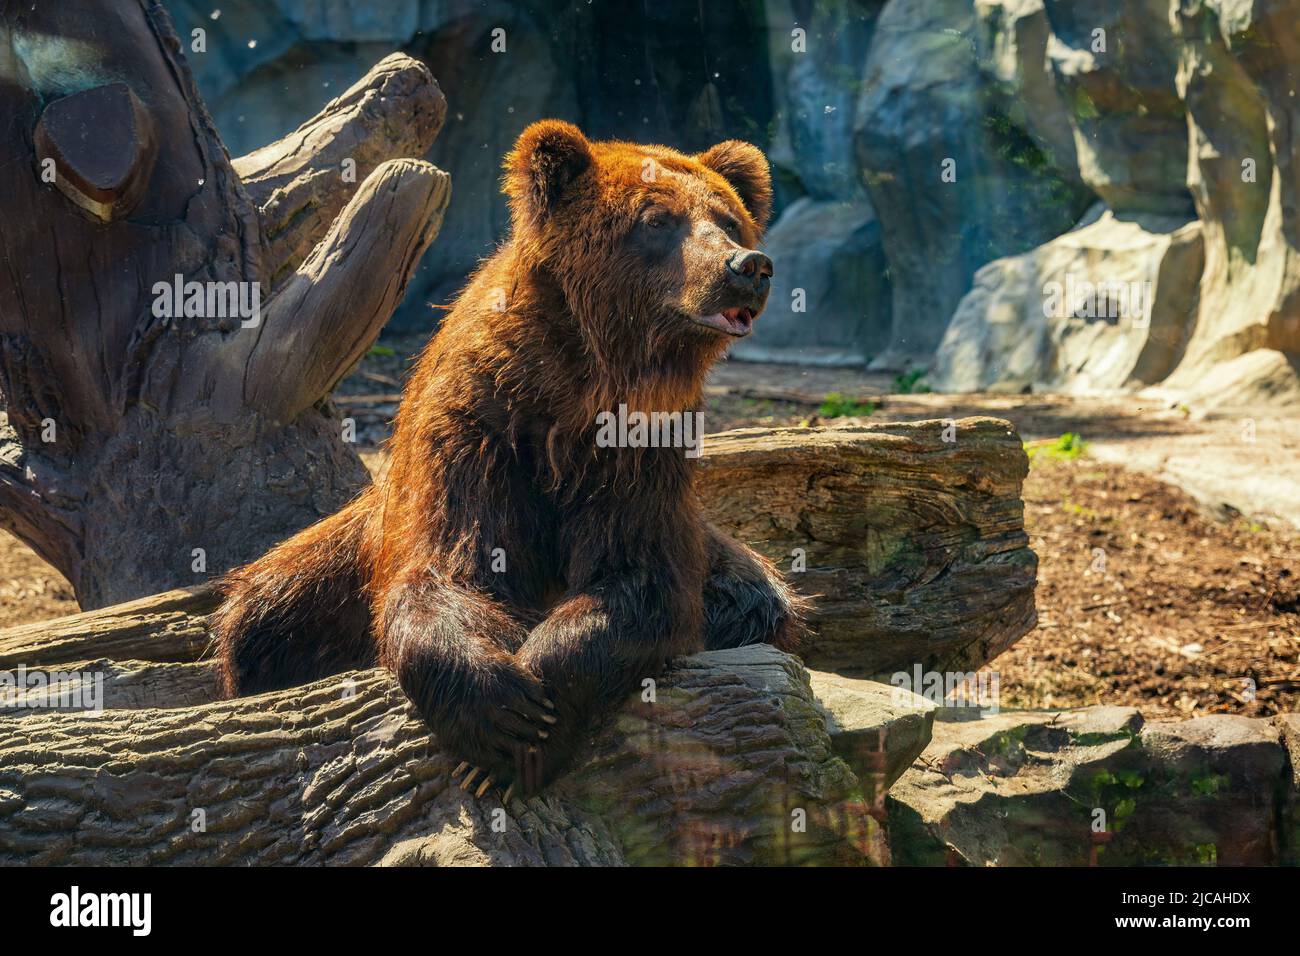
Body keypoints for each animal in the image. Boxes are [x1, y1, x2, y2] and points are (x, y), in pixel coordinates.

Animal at [212, 120, 805, 799]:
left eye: (729, 220)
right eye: (657, 219)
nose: (747, 266)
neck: (580, 383)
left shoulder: (640, 454)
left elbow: (639, 580)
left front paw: (536, 720)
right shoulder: (476, 431)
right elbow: (450, 567)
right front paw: (496, 713)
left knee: (757, 599)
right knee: (265, 615)